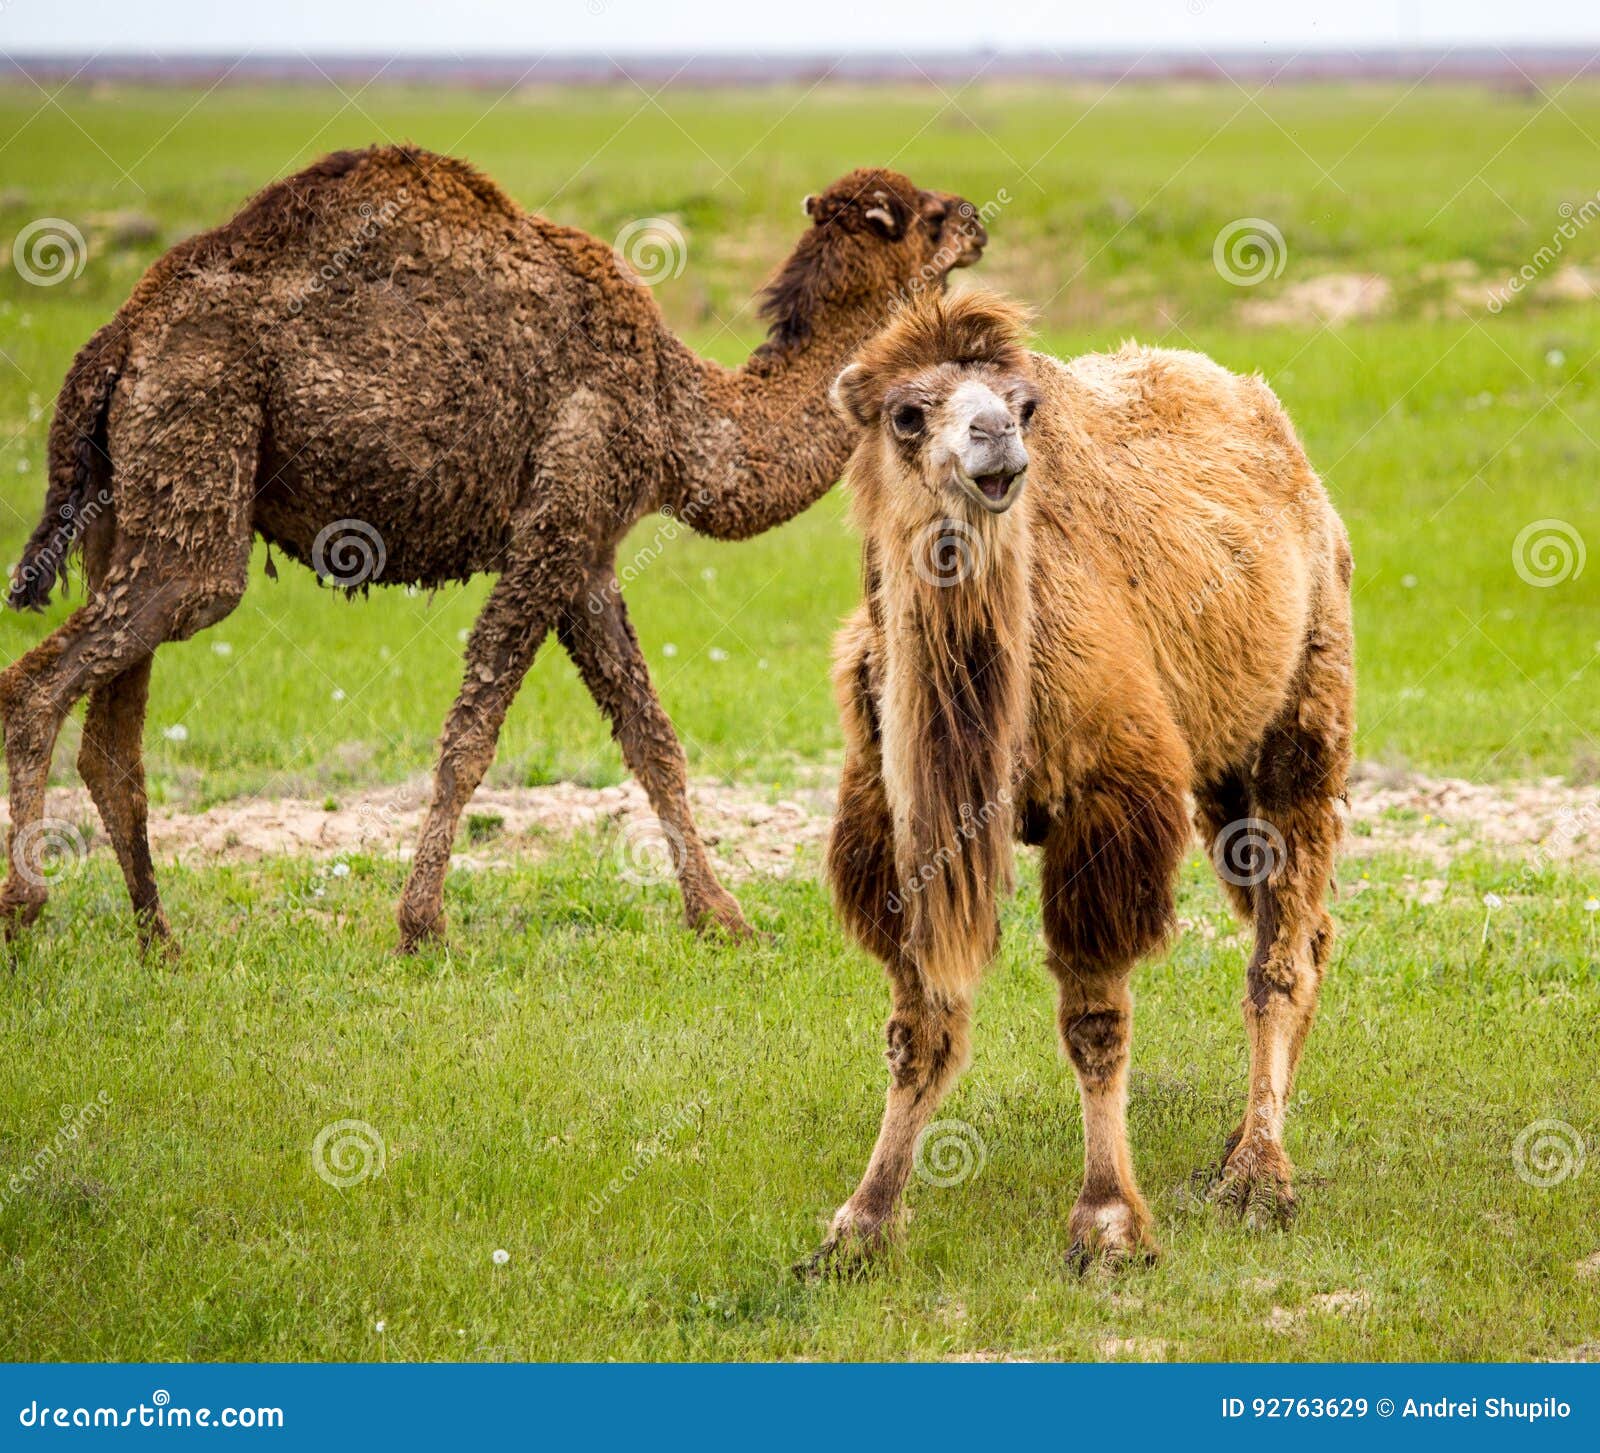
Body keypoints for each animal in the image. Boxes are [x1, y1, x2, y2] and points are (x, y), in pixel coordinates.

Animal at [0, 145, 987, 954]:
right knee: (43, 682)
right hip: (197, 462)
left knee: (112, 742)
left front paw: (725, 920)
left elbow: (653, 740)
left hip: (133, 511)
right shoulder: (559, 520)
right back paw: (26, 905)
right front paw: (421, 924)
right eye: (925, 214)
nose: (978, 216)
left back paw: (157, 938)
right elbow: (474, 731)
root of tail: (119, 339)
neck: (683, 413)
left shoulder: (590, 555)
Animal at [804, 290, 1353, 1274]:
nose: (993, 439)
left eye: (1022, 407)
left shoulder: (1108, 799)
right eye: (907, 414)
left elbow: (1095, 1021)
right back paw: (1243, 1146)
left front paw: (1107, 1221)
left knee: (1279, 951)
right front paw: (860, 1223)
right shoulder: (894, 817)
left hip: (1306, 702)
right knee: (1306, 925)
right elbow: (920, 1029)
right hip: (1221, 763)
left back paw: (1257, 1176)